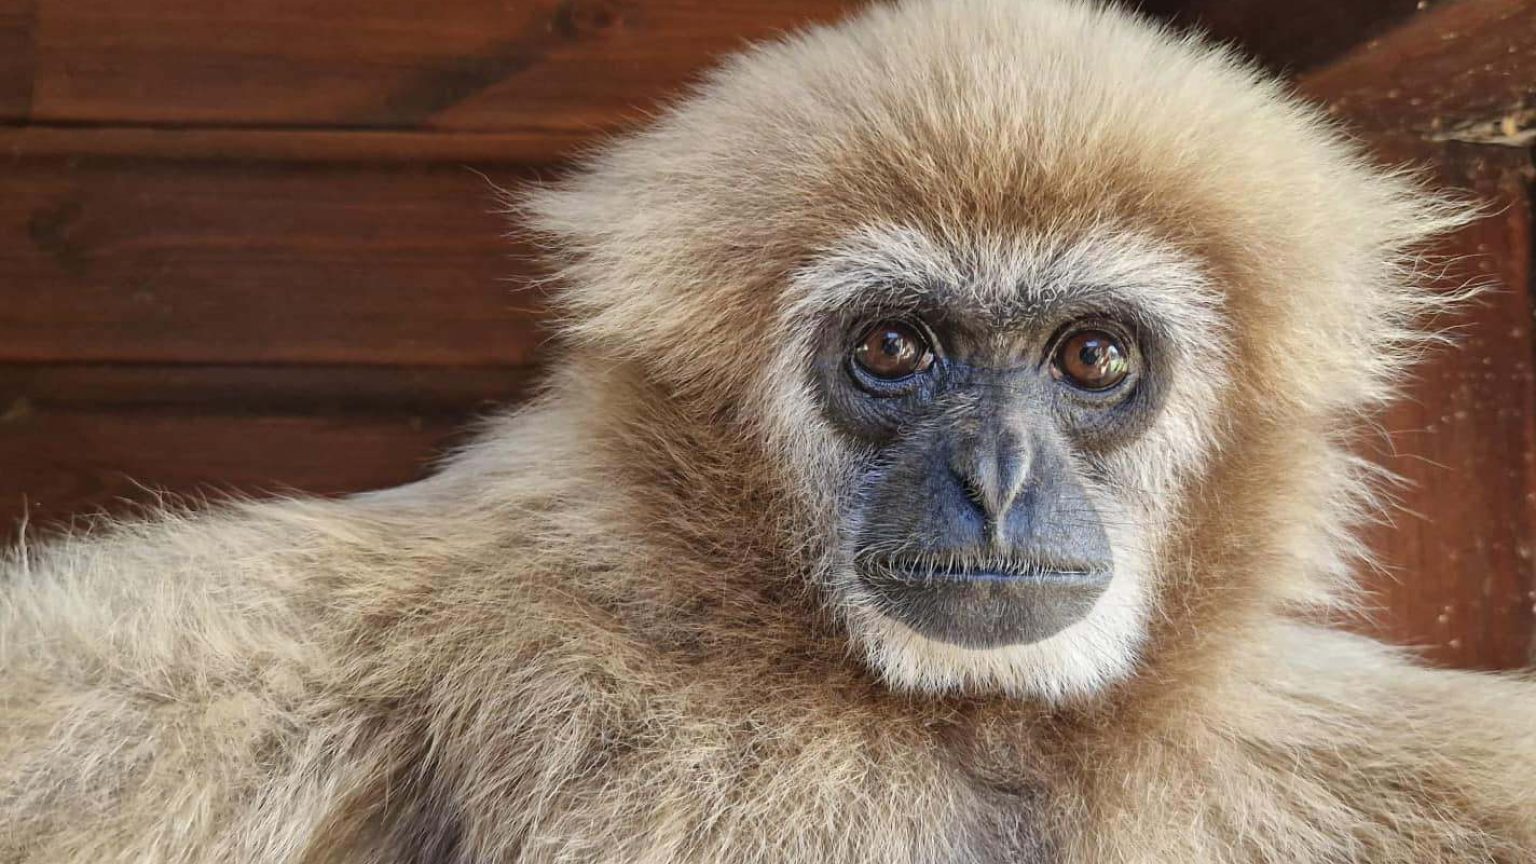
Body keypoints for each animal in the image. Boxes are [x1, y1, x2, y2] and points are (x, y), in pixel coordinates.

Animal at [3, 0, 1535, 861]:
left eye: (1093, 357)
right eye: (894, 350)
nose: (996, 481)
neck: (961, 727)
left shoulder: (1329, 755)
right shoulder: (431, 631)